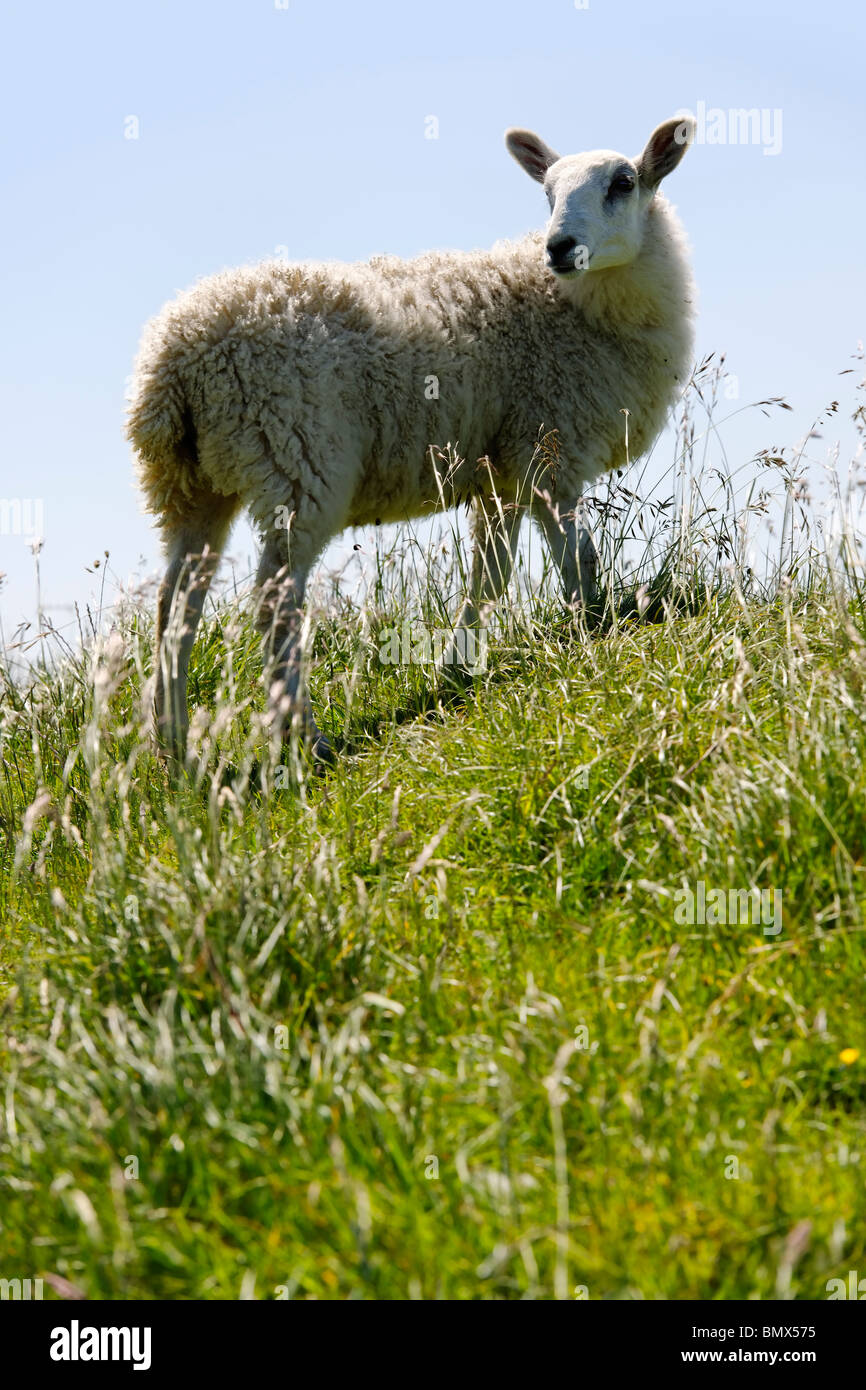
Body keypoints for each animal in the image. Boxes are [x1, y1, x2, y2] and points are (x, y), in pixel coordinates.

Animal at [127, 115, 696, 766]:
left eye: (623, 183)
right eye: (547, 193)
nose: (557, 248)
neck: (575, 310)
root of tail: (178, 359)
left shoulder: (504, 469)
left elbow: (490, 574)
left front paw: (459, 667)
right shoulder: (551, 446)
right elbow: (578, 558)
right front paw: (594, 632)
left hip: (189, 486)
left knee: (174, 607)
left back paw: (174, 749)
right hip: (297, 458)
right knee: (274, 605)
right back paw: (306, 739)